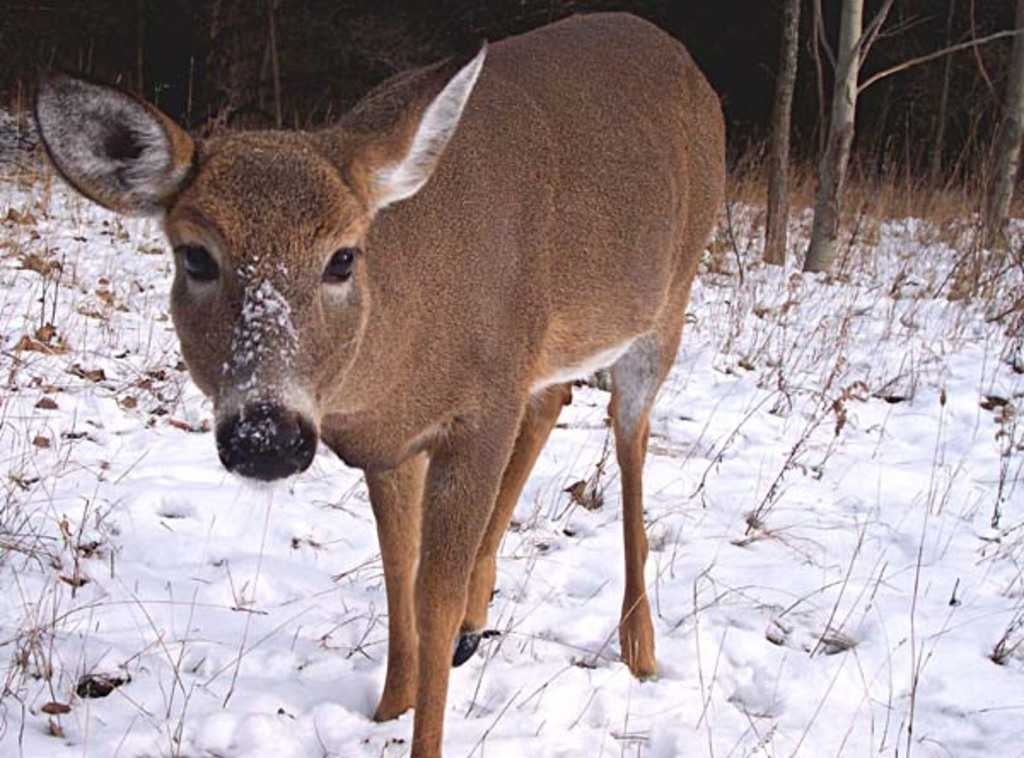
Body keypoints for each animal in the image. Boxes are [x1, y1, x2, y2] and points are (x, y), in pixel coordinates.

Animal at [33, 11, 724, 756]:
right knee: (555, 398)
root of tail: (679, 55)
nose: (265, 435)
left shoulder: (484, 403)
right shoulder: (397, 441)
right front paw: (391, 705)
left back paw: (638, 643)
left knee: (630, 437)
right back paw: (481, 618)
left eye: (342, 257)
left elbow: (431, 594)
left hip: (669, 299)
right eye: (195, 256)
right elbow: (399, 571)